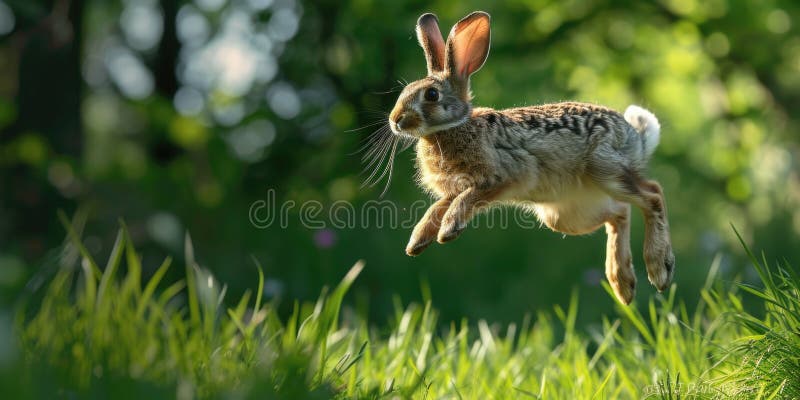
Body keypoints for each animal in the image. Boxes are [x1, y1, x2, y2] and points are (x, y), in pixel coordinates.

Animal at [386, 11, 675, 304]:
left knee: (652, 194)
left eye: (432, 95)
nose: (395, 120)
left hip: (605, 169)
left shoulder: (500, 177)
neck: (455, 127)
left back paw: (659, 268)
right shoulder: (455, 189)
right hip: (565, 215)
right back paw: (623, 283)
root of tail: (634, 136)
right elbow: (438, 207)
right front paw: (417, 241)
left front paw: (448, 230)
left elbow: (464, 201)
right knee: (620, 212)